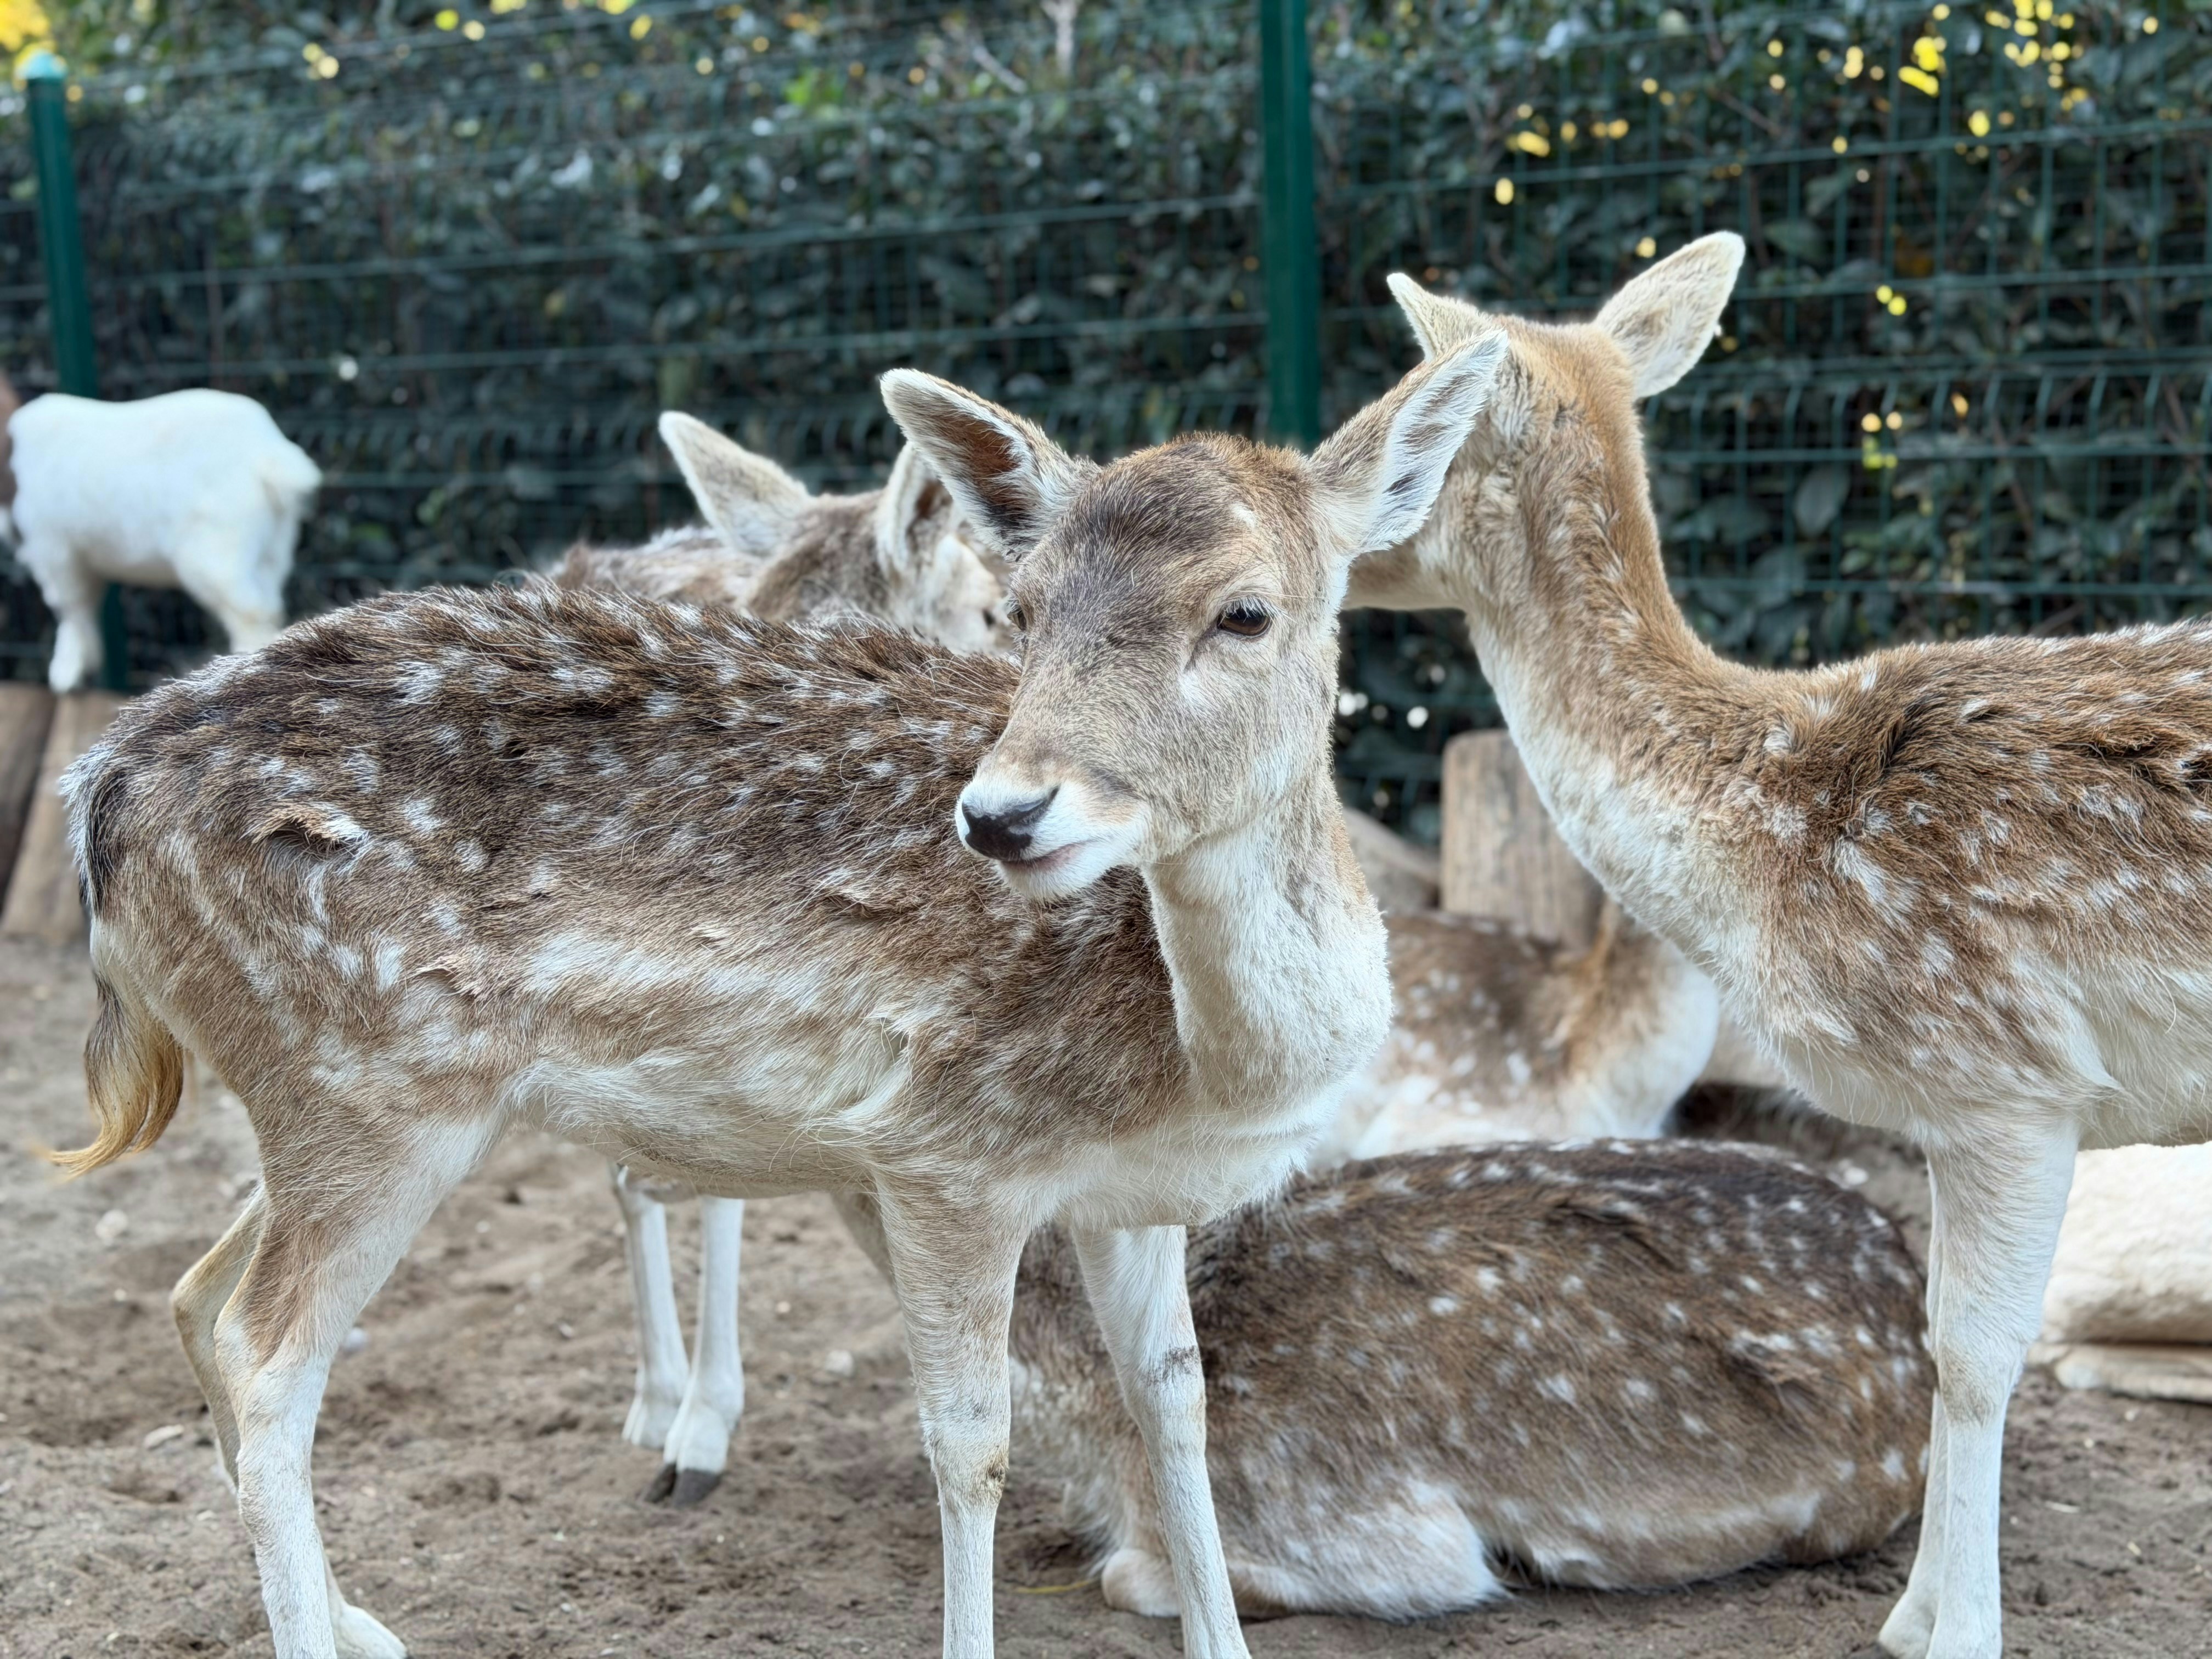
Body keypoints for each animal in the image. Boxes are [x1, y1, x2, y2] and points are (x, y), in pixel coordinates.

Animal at [1358, 233, 2212, 1659]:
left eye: (1398, 424)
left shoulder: (2012, 1076)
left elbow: (1977, 1360)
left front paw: (1955, 1634)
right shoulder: (1963, 1108)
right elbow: (1944, 1340)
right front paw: (1911, 1619)